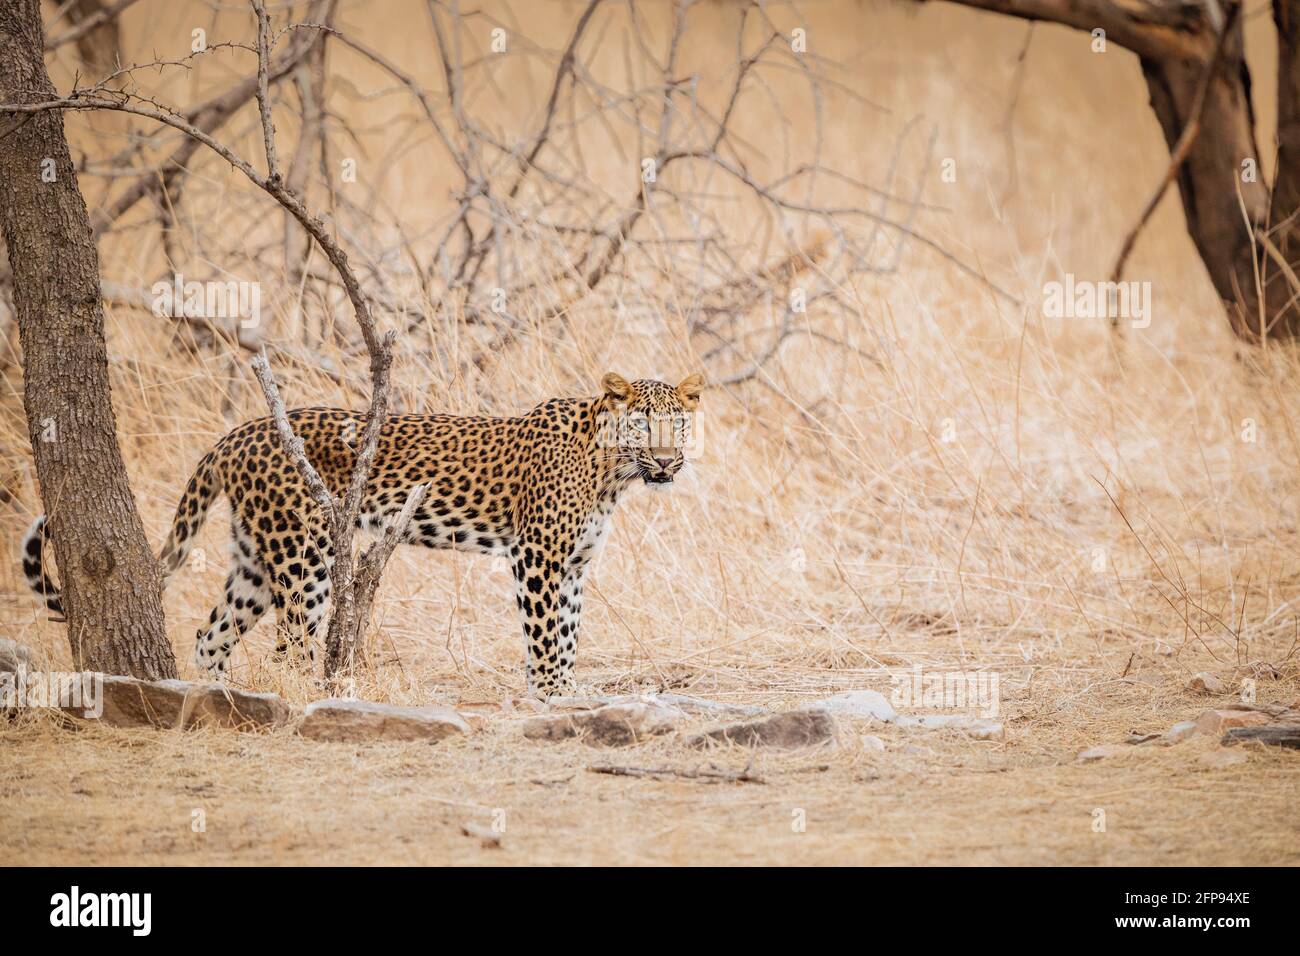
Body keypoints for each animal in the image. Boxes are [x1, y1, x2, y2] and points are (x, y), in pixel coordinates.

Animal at [21, 372, 704, 697]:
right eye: (642, 424)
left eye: (677, 425)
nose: (667, 462)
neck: (613, 474)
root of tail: (236, 434)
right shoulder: (536, 558)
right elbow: (542, 634)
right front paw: (551, 694)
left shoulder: (575, 566)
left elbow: (568, 632)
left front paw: (565, 687)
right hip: (304, 555)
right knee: (292, 646)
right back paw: (304, 698)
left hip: (254, 562)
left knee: (210, 634)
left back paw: (215, 696)